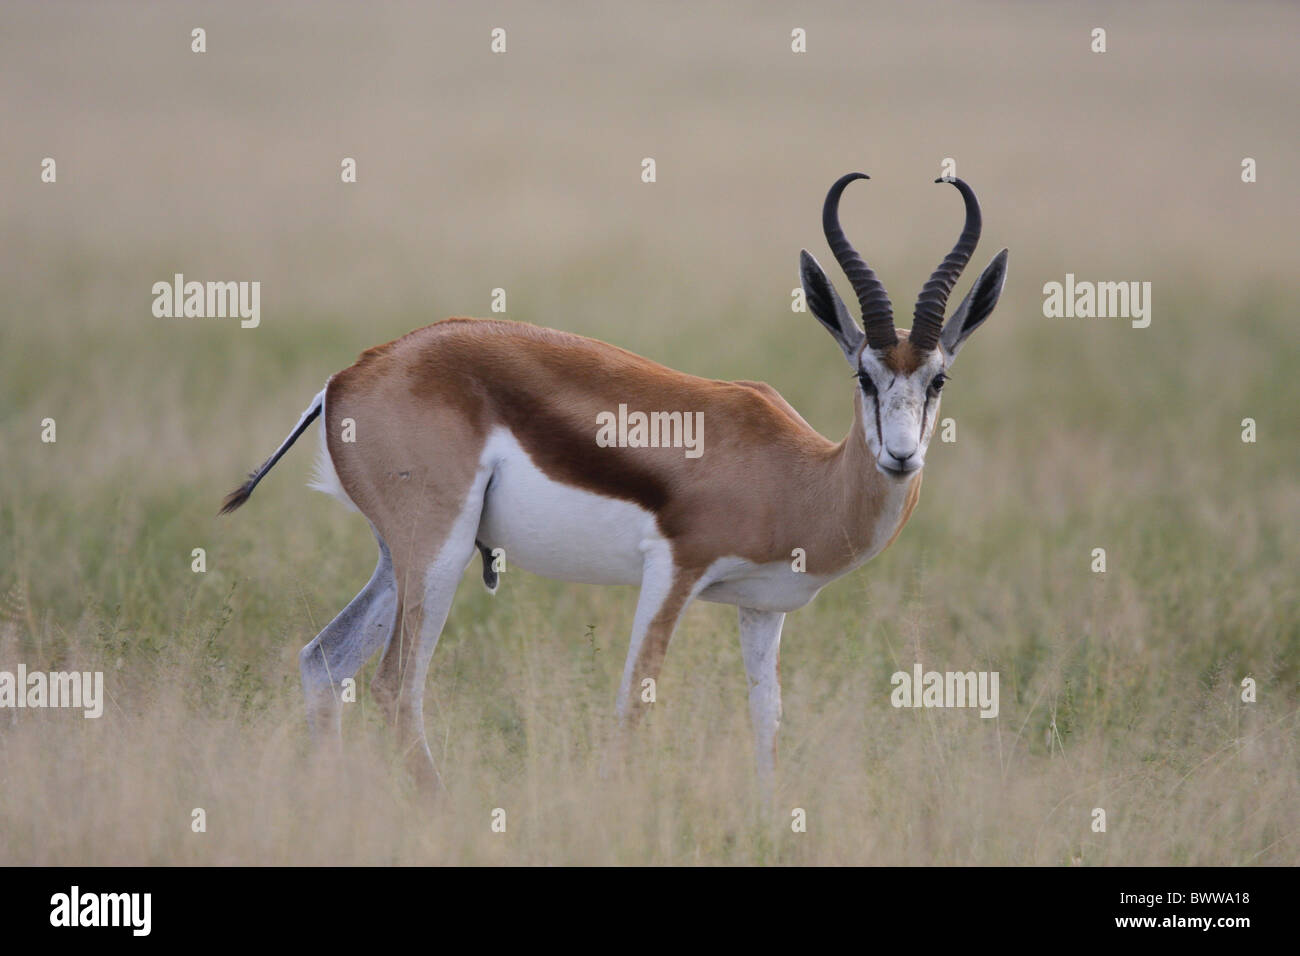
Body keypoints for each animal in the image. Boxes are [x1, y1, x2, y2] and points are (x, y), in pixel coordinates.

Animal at [220, 173, 1008, 792]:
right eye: (864, 377)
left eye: (938, 379)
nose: (900, 458)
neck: (796, 475)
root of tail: (350, 374)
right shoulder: (673, 573)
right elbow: (636, 705)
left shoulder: (763, 608)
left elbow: (768, 721)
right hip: (436, 551)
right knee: (395, 686)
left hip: (401, 558)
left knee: (325, 662)